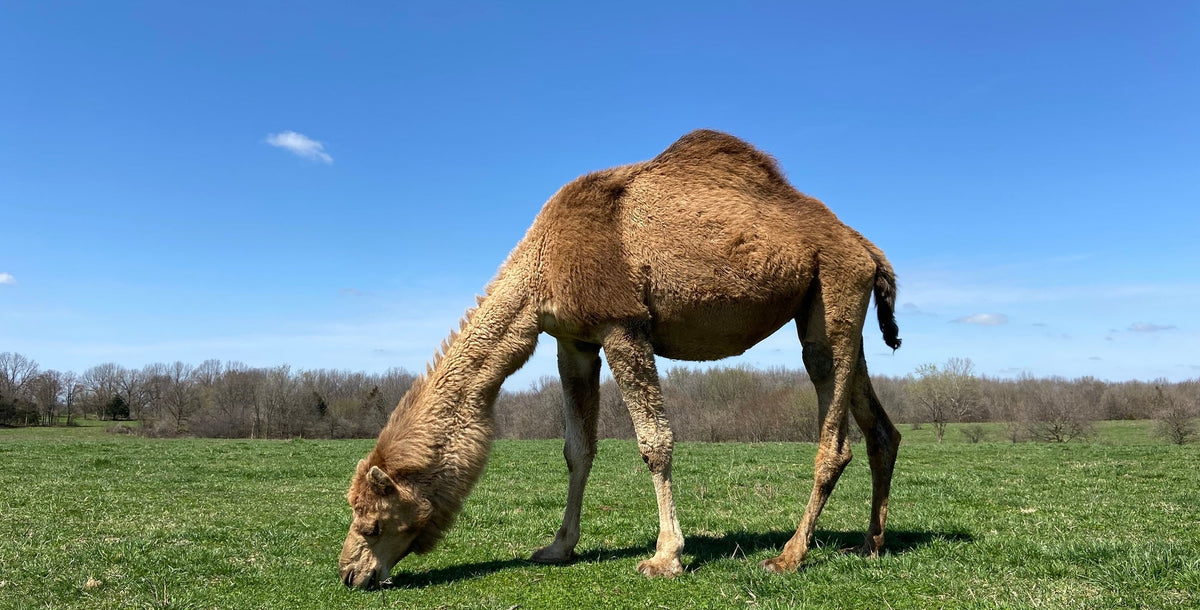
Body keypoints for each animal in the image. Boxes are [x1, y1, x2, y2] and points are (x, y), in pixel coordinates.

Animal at [338, 130, 902, 588]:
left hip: (832, 293)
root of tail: (868, 249)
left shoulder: (622, 323)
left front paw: (665, 557)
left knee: (835, 438)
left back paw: (789, 556)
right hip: (832, 310)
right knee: (881, 429)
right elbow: (577, 449)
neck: (541, 268)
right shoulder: (574, 341)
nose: (348, 572)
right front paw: (558, 547)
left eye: (372, 522)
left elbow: (655, 442)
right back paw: (869, 545)